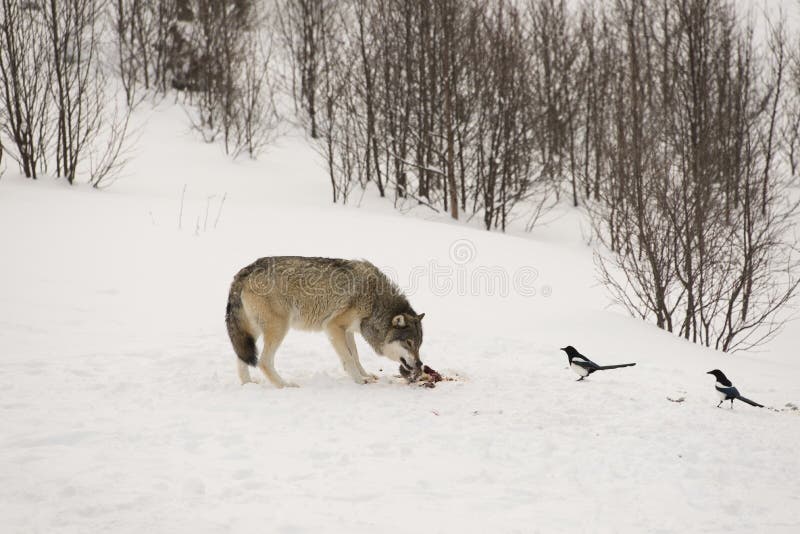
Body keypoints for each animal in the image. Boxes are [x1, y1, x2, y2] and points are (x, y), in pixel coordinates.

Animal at [225, 256, 425, 387]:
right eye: (409, 343)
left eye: (419, 345)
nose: (420, 364)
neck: (375, 301)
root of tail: (245, 270)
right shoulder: (333, 326)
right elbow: (349, 358)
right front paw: (360, 381)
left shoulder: (348, 331)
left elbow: (355, 356)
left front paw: (365, 375)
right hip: (279, 328)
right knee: (264, 362)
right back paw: (285, 385)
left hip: (252, 332)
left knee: (241, 356)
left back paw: (249, 384)